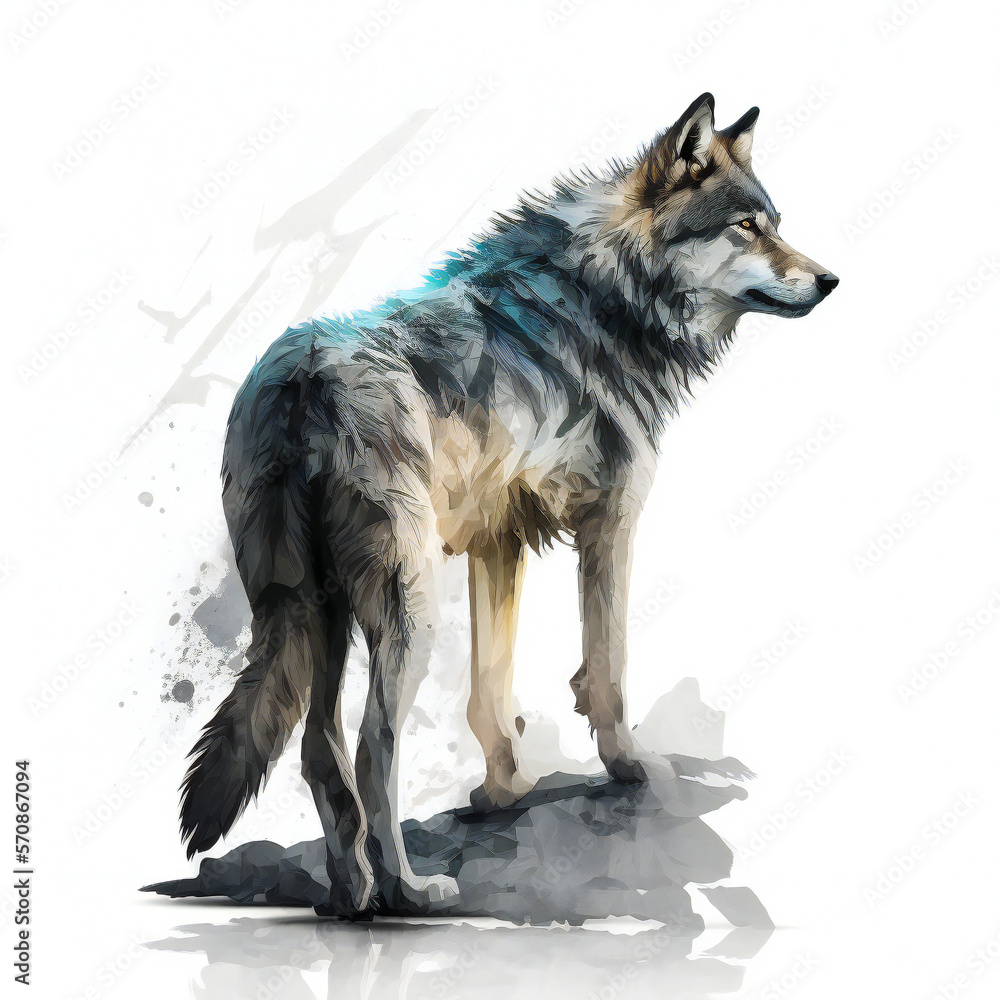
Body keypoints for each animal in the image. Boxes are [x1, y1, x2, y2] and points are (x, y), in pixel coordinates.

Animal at [178, 93, 838, 914]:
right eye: (746, 227)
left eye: (775, 223)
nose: (831, 279)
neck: (612, 292)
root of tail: (302, 377)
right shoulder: (611, 524)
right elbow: (608, 670)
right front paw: (633, 768)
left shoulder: (499, 546)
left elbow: (490, 691)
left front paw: (502, 791)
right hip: (405, 612)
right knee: (371, 749)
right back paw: (408, 891)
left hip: (317, 613)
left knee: (319, 751)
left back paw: (350, 894)